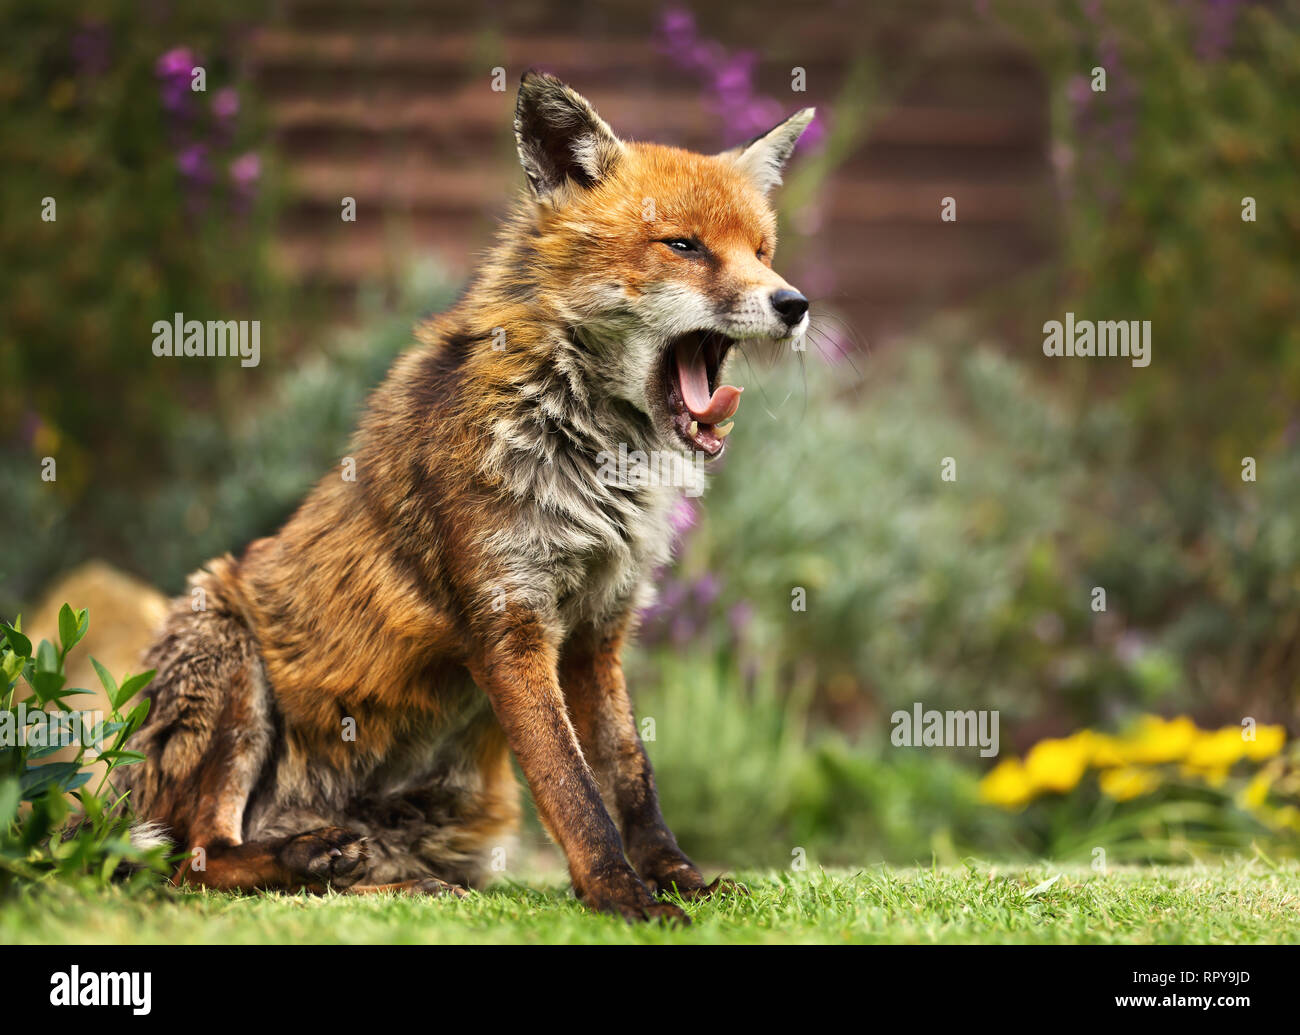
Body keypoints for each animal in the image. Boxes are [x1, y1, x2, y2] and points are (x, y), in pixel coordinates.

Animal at [119, 72, 814, 923]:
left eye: (763, 252)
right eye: (684, 245)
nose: (794, 304)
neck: (591, 456)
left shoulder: (598, 630)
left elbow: (631, 775)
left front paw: (678, 875)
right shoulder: (508, 625)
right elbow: (574, 788)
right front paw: (621, 894)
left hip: (462, 822)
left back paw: (374, 875)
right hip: (229, 660)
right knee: (196, 859)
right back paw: (304, 853)